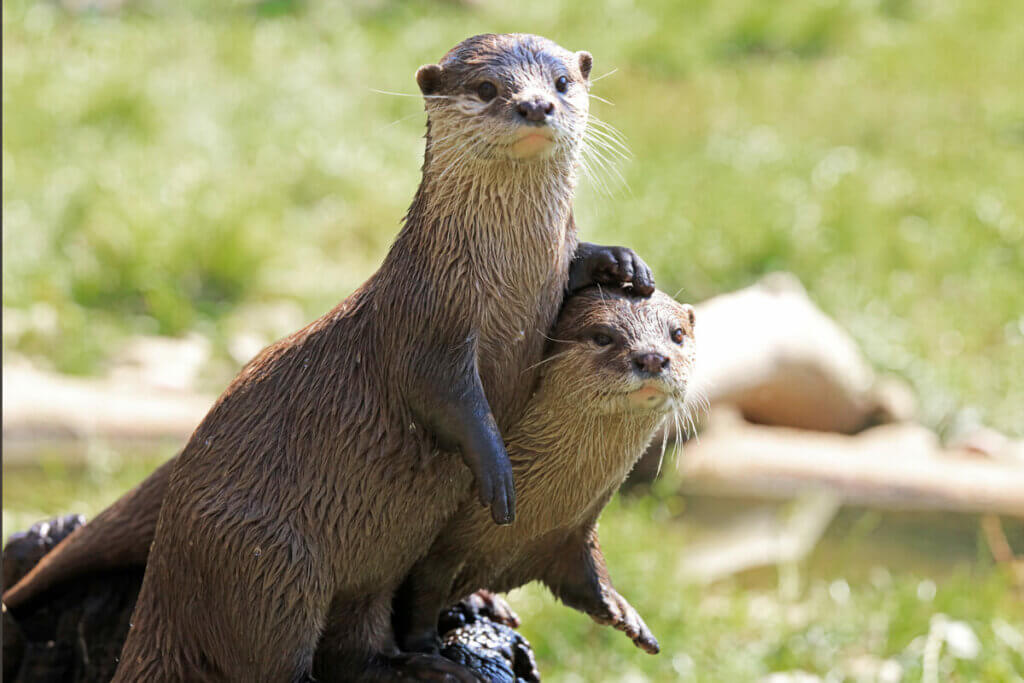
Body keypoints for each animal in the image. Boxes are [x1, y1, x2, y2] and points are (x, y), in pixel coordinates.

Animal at [81, 33, 653, 682]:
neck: (506, 283)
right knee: (277, 658)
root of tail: (161, 588)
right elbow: (446, 398)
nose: (535, 105)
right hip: (269, 563)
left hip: (372, 568)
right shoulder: (425, 326)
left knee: (357, 644)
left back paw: (428, 665)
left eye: (560, 82)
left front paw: (619, 263)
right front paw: (497, 469)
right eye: (487, 89)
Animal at [395, 288, 696, 658]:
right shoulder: (438, 553)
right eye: (602, 337)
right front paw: (426, 649)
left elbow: (587, 575)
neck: (526, 523)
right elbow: (423, 593)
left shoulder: (573, 531)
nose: (652, 358)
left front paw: (623, 610)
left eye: (677, 334)